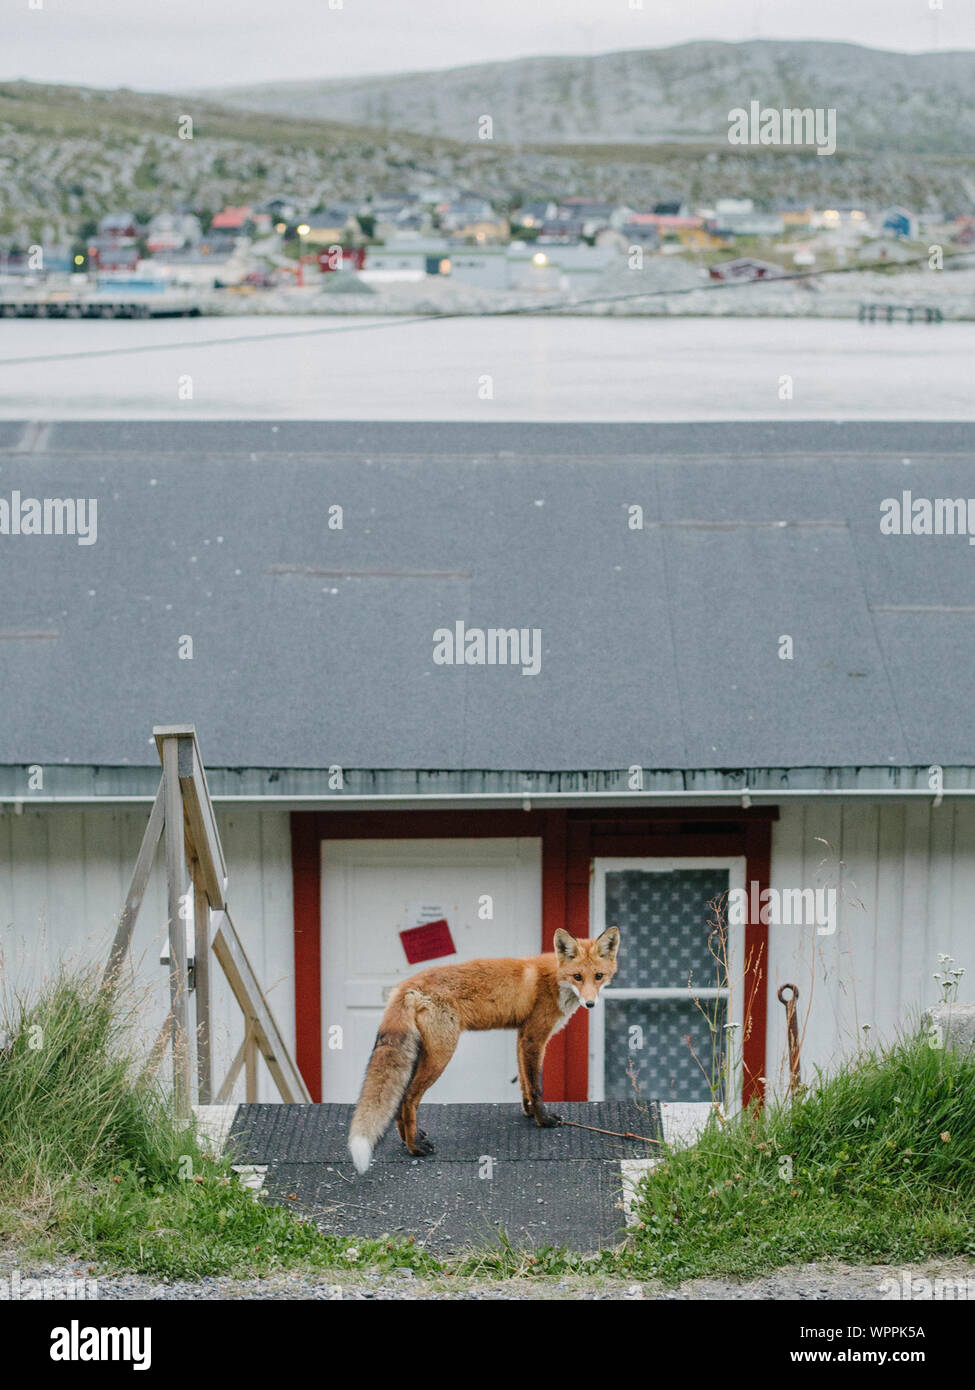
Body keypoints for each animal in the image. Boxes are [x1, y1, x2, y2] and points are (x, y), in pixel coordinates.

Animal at [347, 924, 620, 1173]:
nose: (590, 1003)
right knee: (408, 1098)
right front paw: (544, 1120)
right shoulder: (535, 1036)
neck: (555, 980)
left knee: (401, 1097)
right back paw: (415, 1147)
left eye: (598, 976)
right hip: (441, 1054)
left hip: (421, 1053)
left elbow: (524, 1084)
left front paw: (529, 1113)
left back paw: (408, 1139)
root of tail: (406, 985)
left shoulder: (522, 1035)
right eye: (577, 977)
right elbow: (536, 1086)